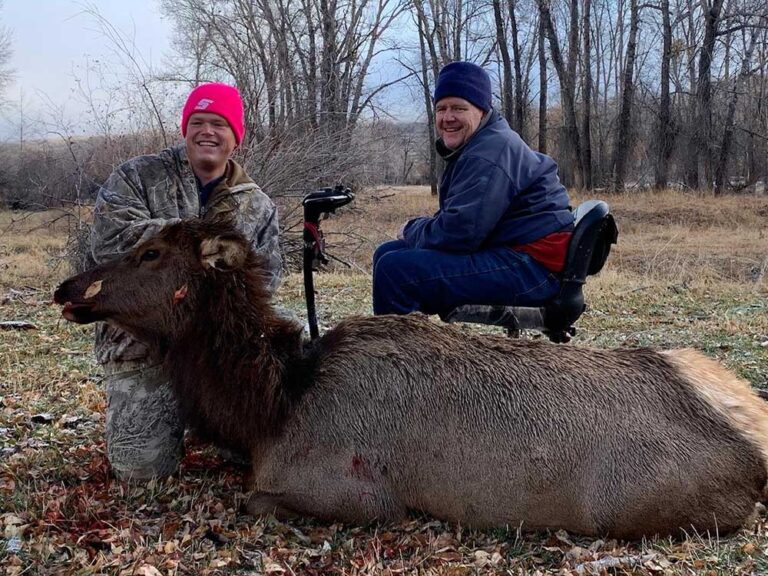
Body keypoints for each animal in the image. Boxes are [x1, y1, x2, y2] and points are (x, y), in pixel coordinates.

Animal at [54, 219, 768, 540]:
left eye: (150, 252)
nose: (67, 288)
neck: (272, 404)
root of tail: (756, 446)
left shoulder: (360, 495)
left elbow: (250, 499)